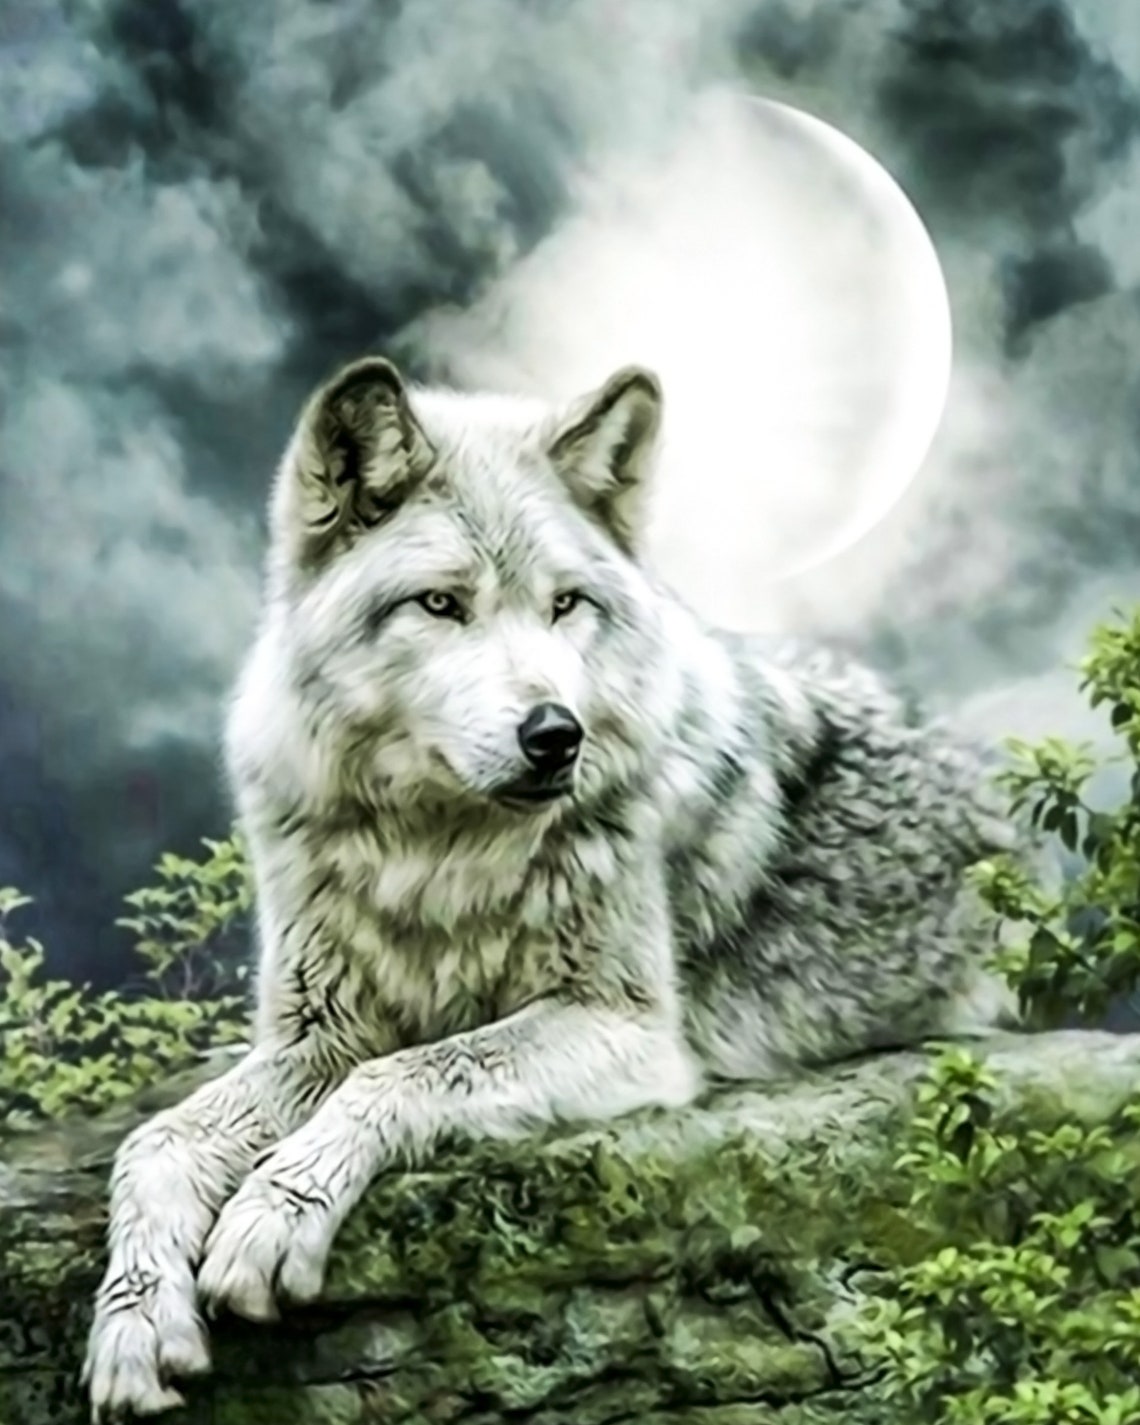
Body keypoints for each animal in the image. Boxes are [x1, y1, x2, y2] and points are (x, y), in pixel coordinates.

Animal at [84, 355, 1018, 1418]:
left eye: (567, 604)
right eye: (441, 604)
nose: (554, 734)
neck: (436, 852)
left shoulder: (627, 1029)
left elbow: (403, 1073)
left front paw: (272, 1213)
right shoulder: (315, 1035)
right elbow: (153, 1142)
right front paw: (134, 1322)